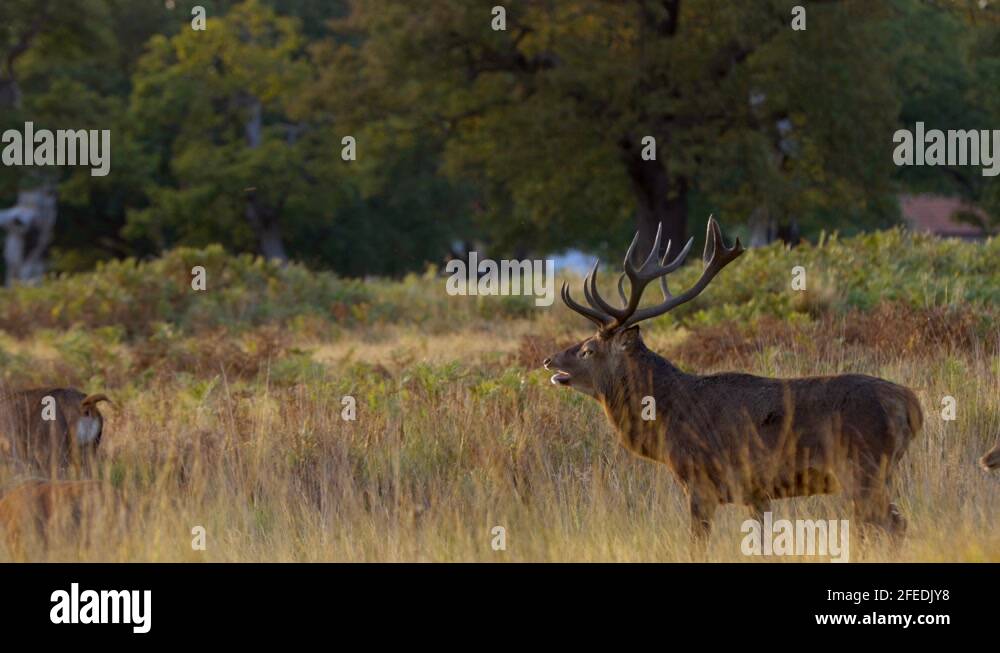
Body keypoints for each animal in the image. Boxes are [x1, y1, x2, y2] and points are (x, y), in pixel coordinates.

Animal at [544, 217, 922, 547]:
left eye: (588, 350)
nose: (549, 360)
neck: (665, 421)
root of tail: (911, 404)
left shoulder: (700, 482)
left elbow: (697, 545)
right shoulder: (757, 493)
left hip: (863, 467)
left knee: (896, 525)